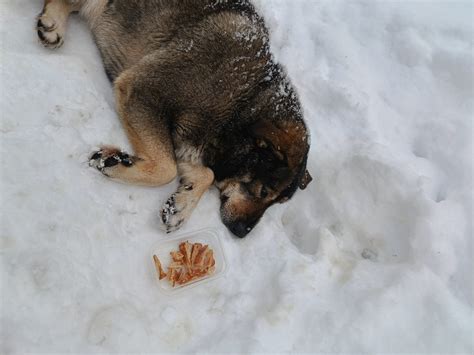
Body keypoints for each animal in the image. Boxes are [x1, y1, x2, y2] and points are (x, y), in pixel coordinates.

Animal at [36, 0, 312, 239]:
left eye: (277, 203)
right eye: (264, 191)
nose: (242, 234)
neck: (243, 104)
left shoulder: (189, 142)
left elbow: (205, 173)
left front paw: (182, 205)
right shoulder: (142, 92)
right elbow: (166, 169)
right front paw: (115, 162)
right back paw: (53, 21)